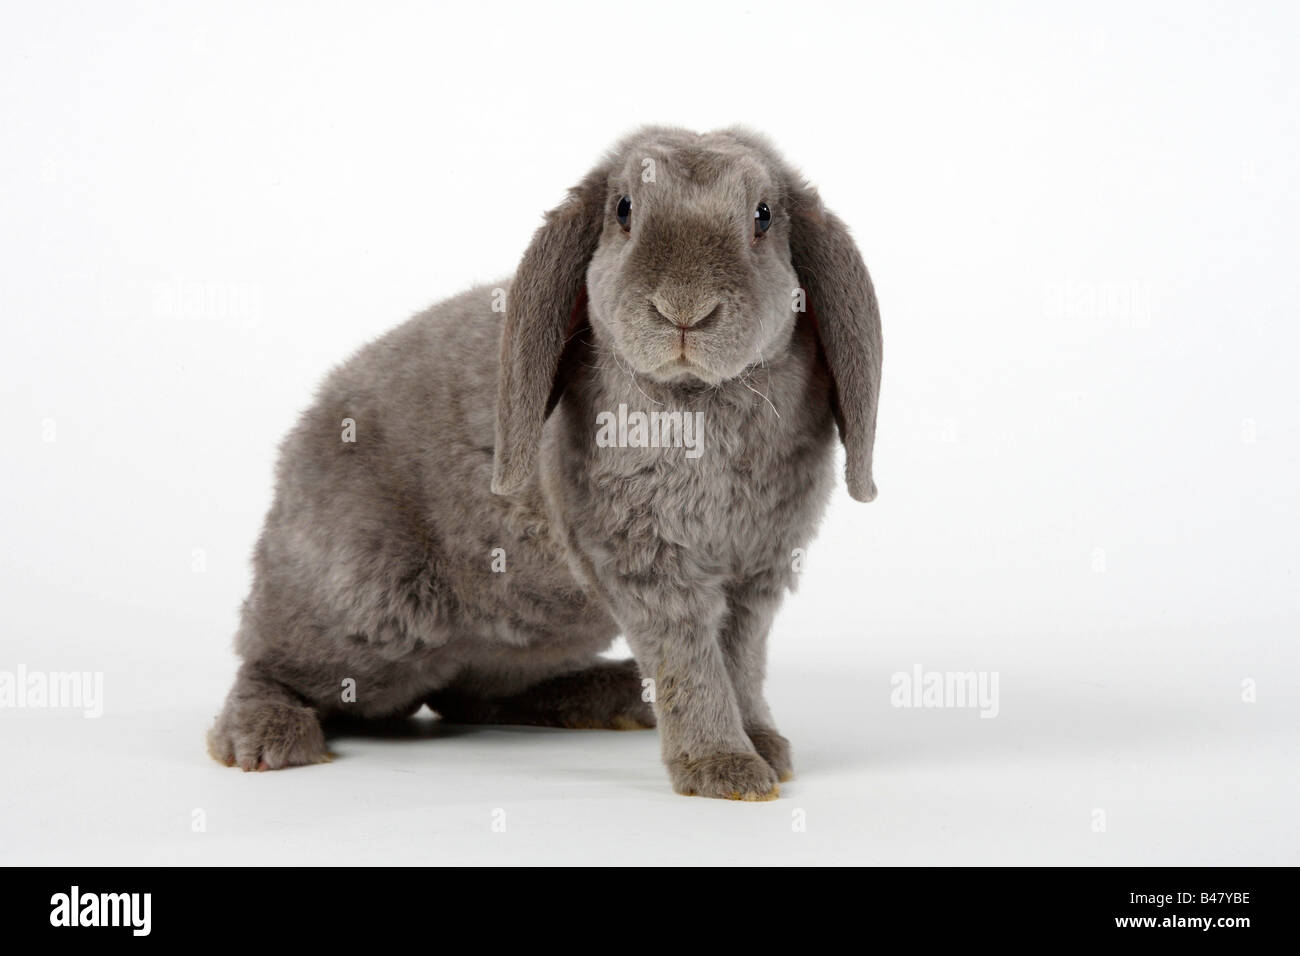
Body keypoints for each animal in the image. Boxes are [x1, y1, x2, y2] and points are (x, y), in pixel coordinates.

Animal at [207, 126, 882, 801]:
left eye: (763, 216)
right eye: (624, 211)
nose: (683, 309)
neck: (697, 398)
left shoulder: (757, 570)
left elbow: (741, 661)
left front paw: (766, 747)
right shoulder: (645, 564)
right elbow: (691, 662)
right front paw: (727, 771)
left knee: (469, 694)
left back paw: (614, 698)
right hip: (372, 615)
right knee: (267, 660)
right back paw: (265, 738)